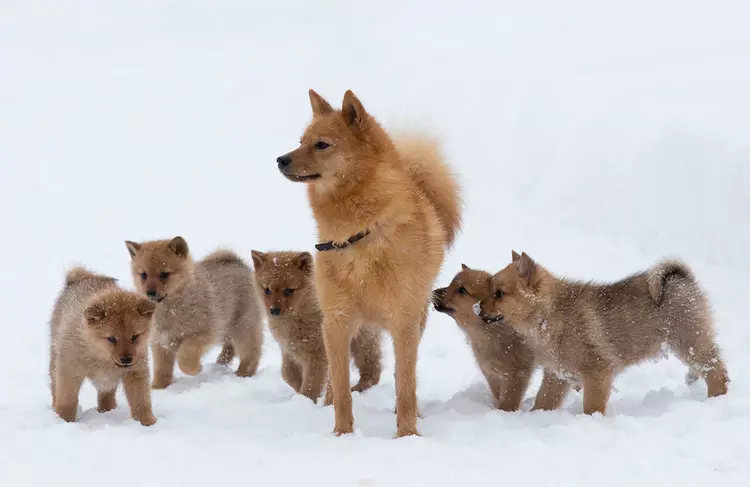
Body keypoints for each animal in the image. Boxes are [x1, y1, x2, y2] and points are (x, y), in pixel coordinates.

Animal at [49, 268, 158, 426]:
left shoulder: (136, 370)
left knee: (106, 395)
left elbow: (141, 400)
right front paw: (65, 421)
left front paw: (147, 422)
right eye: (111, 338)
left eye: (135, 336)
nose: (126, 359)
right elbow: (67, 400)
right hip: (54, 357)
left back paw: (107, 410)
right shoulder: (69, 369)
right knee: (54, 386)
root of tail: (80, 278)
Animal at [129, 237, 268, 388]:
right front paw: (158, 387)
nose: (149, 293)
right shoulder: (160, 342)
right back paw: (222, 362)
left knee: (251, 352)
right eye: (143, 275)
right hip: (228, 326)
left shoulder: (202, 333)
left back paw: (243, 374)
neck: (170, 308)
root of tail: (238, 262)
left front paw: (196, 369)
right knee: (231, 346)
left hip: (243, 325)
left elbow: (185, 357)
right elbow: (161, 369)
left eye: (164, 274)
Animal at [253, 250, 384, 402]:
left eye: (289, 291)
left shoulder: (318, 354)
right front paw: (299, 392)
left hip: (362, 340)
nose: (274, 310)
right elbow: (288, 374)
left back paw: (359, 387)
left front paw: (306, 400)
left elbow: (311, 383)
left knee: (372, 367)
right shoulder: (288, 349)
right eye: (267, 290)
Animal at [278, 90, 462, 438]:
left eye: (322, 144)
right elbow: (341, 388)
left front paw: (407, 435)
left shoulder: (403, 323)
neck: (357, 237)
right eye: (300, 141)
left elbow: (406, 386)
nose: (280, 159)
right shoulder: (336, 322)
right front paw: (342, 434)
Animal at [478, 252, 732, 416]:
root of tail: (680, 278)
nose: (477, 308)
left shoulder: (597, 372)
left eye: (499, 294)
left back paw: (716, 399)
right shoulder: (557, 375)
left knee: (717, 371)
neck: (548, 315)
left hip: (690, 341)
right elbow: (543, 401)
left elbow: (592, 407)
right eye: (489, 289)